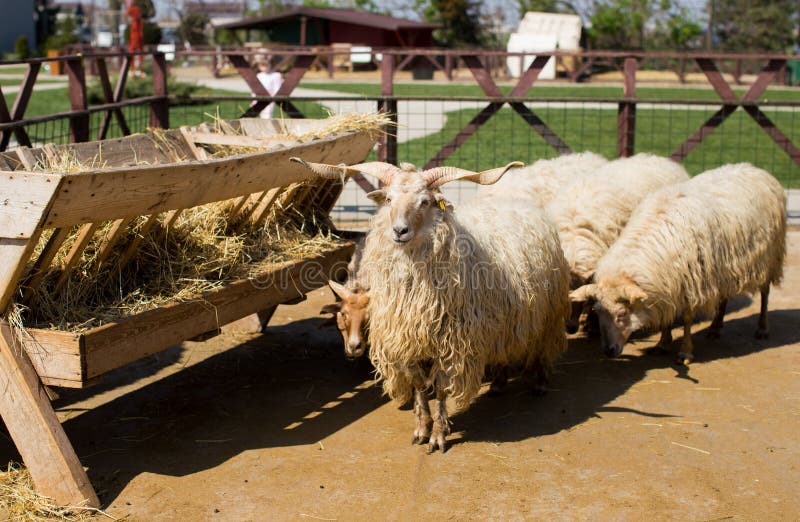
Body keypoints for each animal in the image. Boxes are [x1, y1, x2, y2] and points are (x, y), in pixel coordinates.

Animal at [291, 157, 571, 453]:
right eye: (388, 199)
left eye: (424, 201)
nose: (399, 231)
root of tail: (521, 203)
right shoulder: (409, 344)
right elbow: (419, 388)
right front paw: (421, 430)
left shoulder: (450, 345)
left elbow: (441, 389)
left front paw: (438, 436)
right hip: (505, 321)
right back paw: (498, 383)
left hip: (550, 311)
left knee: (544, 344)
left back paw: (540, 383)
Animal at [570, 163, 787, 365]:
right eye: (597, 312)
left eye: (622, 313)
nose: (608, 351)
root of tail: (757, 169)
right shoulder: (669, 284)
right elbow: (667, 316)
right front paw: (662, 344)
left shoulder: (692, 283)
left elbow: (688, 319)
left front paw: (685, 352)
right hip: (726, 267)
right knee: (724, 295)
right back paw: (715, 326)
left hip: (770, 258)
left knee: (765, 293)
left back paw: (762, 328)